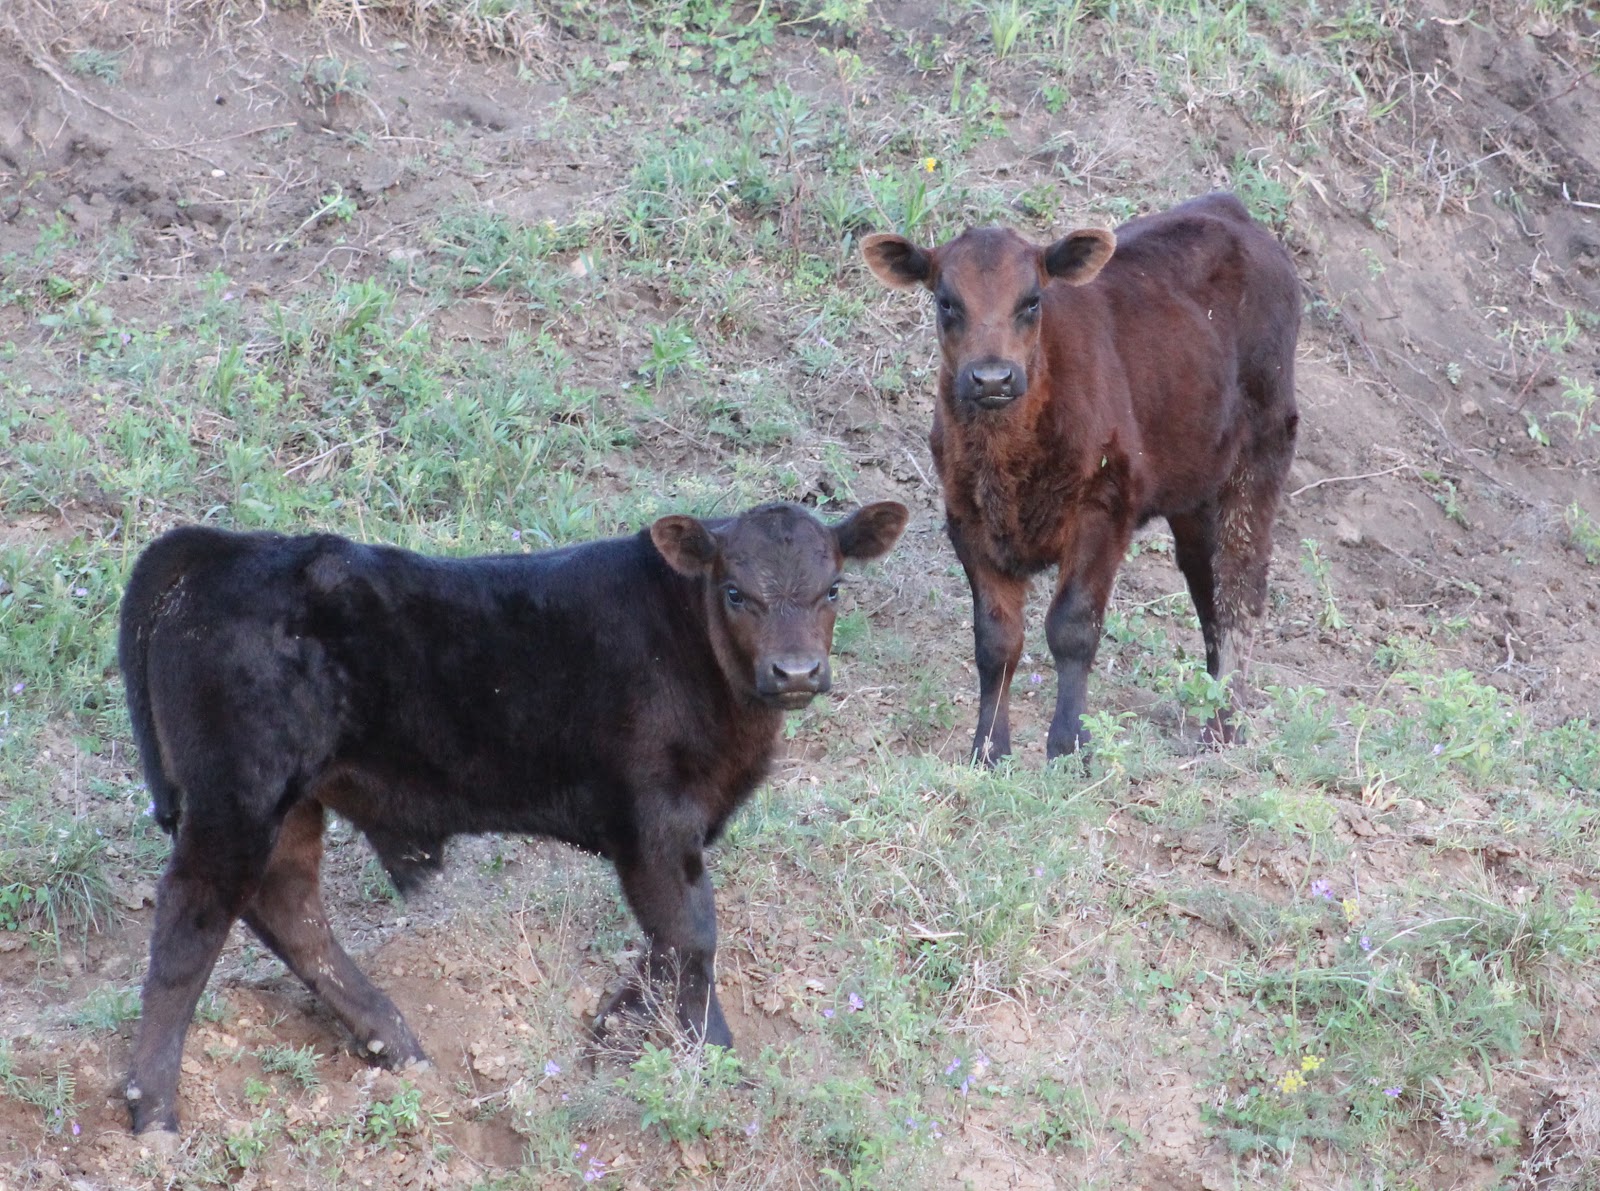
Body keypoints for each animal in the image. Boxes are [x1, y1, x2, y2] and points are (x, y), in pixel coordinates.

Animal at [116, 498, 908, 1135]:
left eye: (833, 588)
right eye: (737, 591)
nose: (796, 672)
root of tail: (225, 549)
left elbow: (670, 937)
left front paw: (614, 1023)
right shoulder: (654, 818)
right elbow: (692, 933)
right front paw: (712, 1054)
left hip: (294, 802)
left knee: (291, 909)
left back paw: (397, 1046)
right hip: (237, 797)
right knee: (192, 922)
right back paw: (153, 1113)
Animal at [862, 192, 1299, 764]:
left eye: (1032, 301)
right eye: (946, 302)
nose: (992, 377)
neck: (1007, 459)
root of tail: (1232, 210)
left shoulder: (1105, 507)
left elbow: (1072, 626)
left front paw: (1069, 743)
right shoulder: (966, 518)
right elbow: (996, 641)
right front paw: (989, 749)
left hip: (1263, 450)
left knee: (1241, 584)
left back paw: (1224, 725)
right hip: (1194, 488)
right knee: (1207, 584)